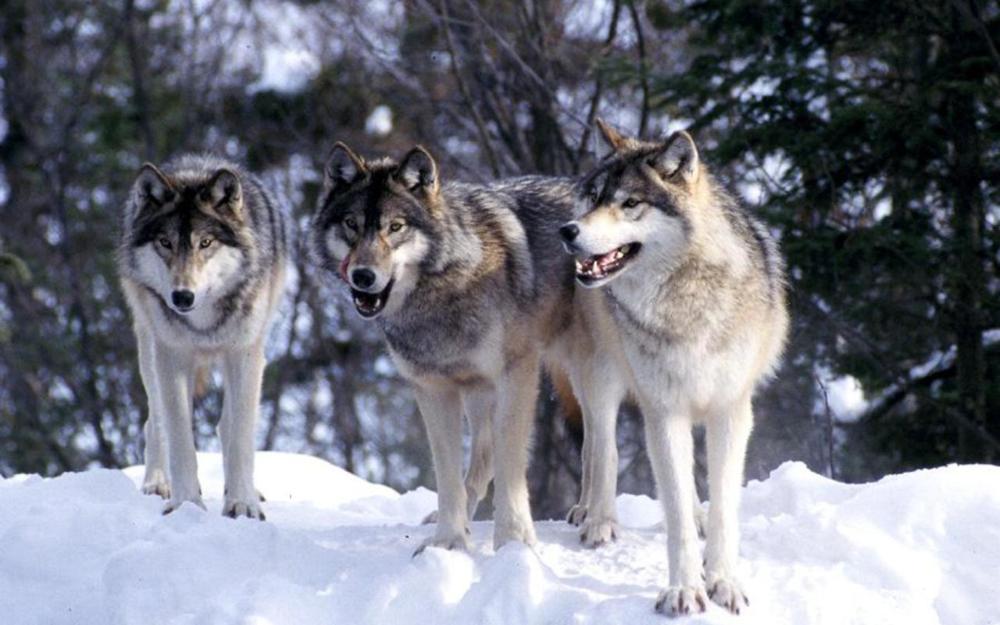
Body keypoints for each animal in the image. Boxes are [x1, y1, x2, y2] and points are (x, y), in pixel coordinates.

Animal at [118, 154, 288, 519]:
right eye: (165, 243)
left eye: (205, 243)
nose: (182, 296)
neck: (203, 322)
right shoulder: (172, 356)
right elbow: (180, 439)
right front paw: (186, 505)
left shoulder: (245, 354)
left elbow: (241, 437)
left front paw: (242, 504)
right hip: (149, 350)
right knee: (154, 421)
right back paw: (157, 483)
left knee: (227, 425)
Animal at [309, 142, 631, 551]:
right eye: (351, 224)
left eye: (395, 227)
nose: (363, 276)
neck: (443, 291)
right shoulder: (432, 389)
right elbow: (448, 474)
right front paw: (447, 541)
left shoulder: (517, 375)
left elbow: (510, 464)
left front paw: (513, 541)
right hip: (486, 393)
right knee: (496, 455)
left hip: (586, 369)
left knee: (600, 443)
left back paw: (595, 520)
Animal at [560, 120, 789, 615]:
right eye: (595, 197)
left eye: (630, 203)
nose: (567, 231)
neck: (686, 300)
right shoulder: (663, 412)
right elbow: (676, 515)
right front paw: (684, 590)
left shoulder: (730, 411)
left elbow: (721, 506)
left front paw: (723, 581)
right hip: (602, 378)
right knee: (600, 447)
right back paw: (597, 518)